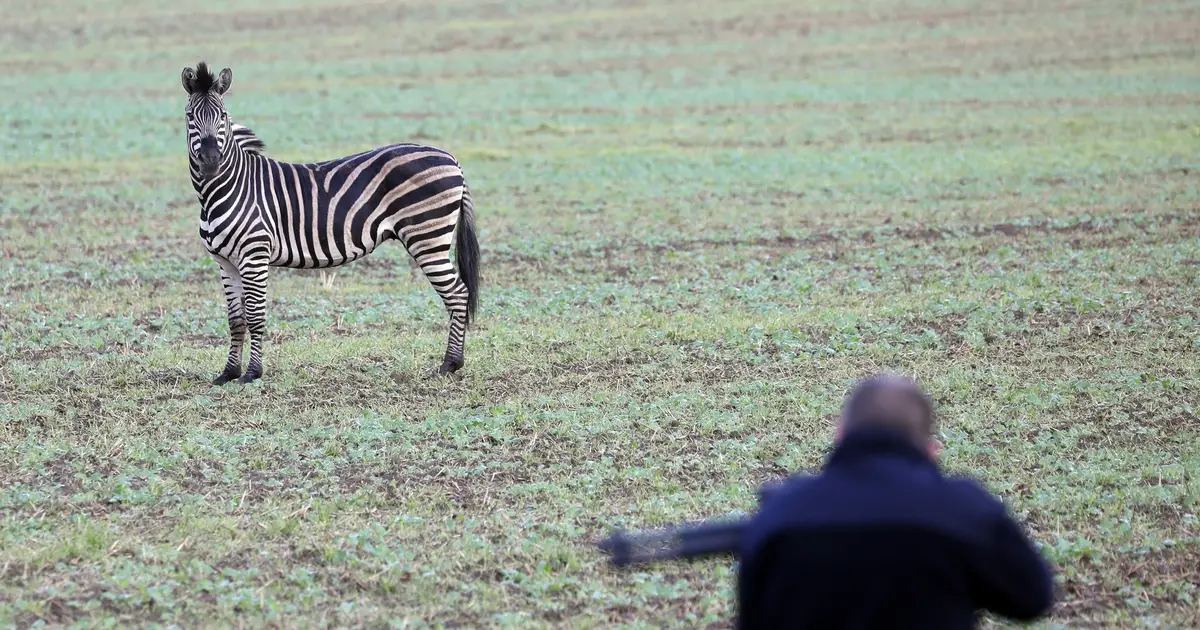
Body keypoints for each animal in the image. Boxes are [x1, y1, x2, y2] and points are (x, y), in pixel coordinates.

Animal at [180, 62, 480, 385]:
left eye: (223, 115)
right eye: (190, 116)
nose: (211, 161)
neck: (225, 189)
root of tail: (450, 157)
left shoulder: (254, 255)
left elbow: (255, 316)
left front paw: (252, 373)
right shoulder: (225, 262)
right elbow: (236, 320)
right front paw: (228, 372)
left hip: (428, 236)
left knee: (458, 294)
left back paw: (451, 363)